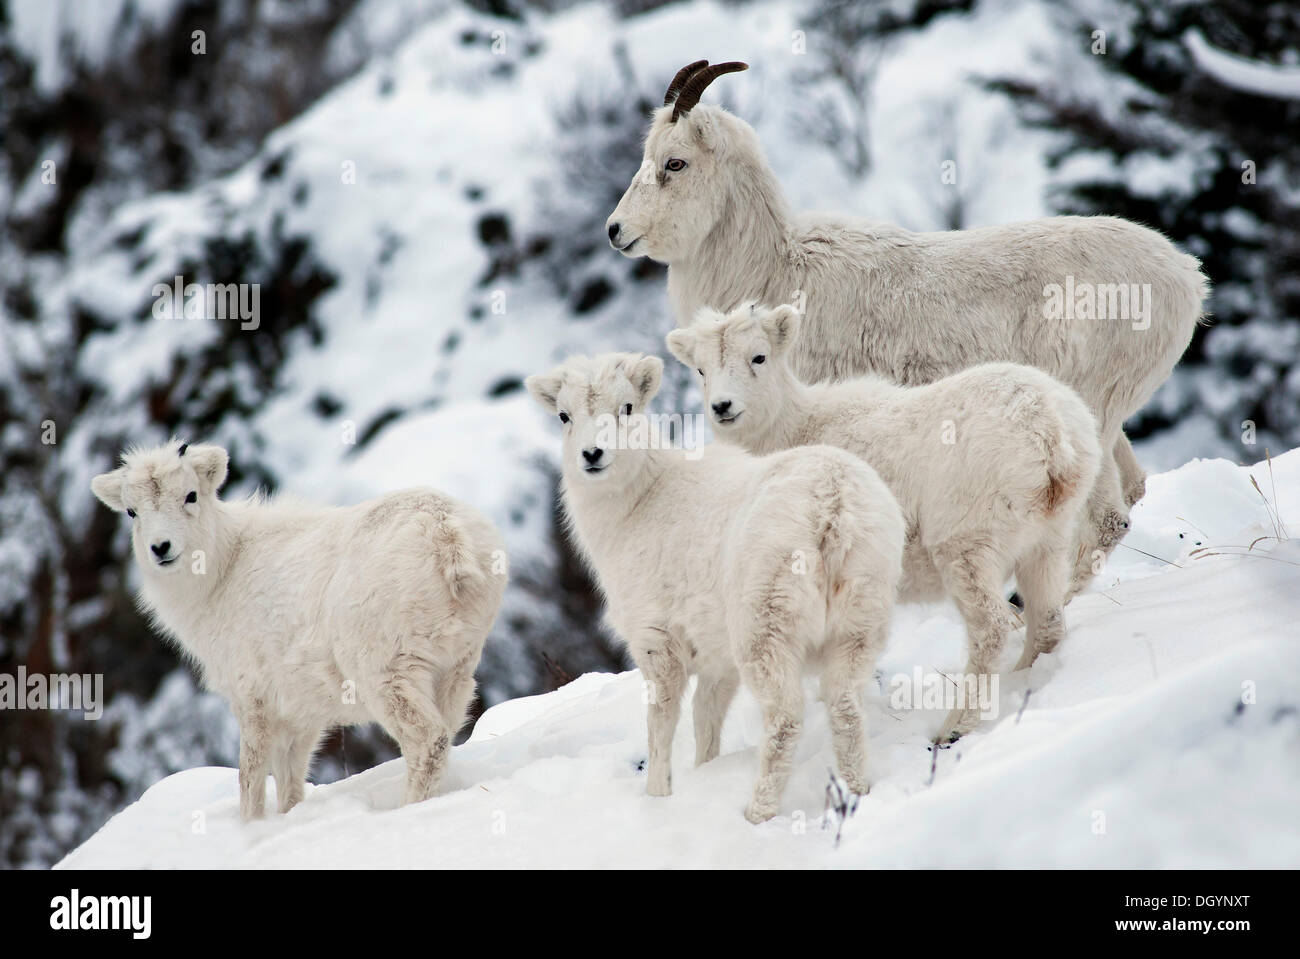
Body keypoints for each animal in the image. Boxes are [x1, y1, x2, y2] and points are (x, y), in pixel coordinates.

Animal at [91, 440, 507, 820]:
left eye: (190, 495)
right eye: (132, 511)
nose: (161, 548)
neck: (223, 572)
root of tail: (445, 536)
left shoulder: (252, 700)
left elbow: (250, 776)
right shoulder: (299, 716)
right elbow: (290, 782)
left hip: (387, 675)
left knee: (427, 741)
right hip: (454, 671)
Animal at [525, 352, 905, 822]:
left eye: (627, 407)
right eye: (564, 415)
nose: (592, 455)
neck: (637, 505)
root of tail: (833, 506)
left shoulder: (657, 642)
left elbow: (662, 724)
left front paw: (658, 797)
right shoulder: (716, 659)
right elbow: (706, 720)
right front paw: (704, 770)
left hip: (767, 630)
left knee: (785, 718)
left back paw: (757, 812)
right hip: (859, 623)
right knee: (846, 707)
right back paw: (855, 794)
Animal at [607, 60, 1209, 596]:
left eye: (675, 163)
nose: (616, 231)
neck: (776, 268)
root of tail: (1186, 277)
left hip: (1095, 413)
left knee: (1106, 519)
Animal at [667, 304, 1103, 741]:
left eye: (759, 357)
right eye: (701, 369)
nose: (722, 406)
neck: (793, 428)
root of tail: (1049, 431)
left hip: (967, 546)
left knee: (992, 629)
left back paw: (952, 729)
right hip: (1047, 540)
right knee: (1046, 621)